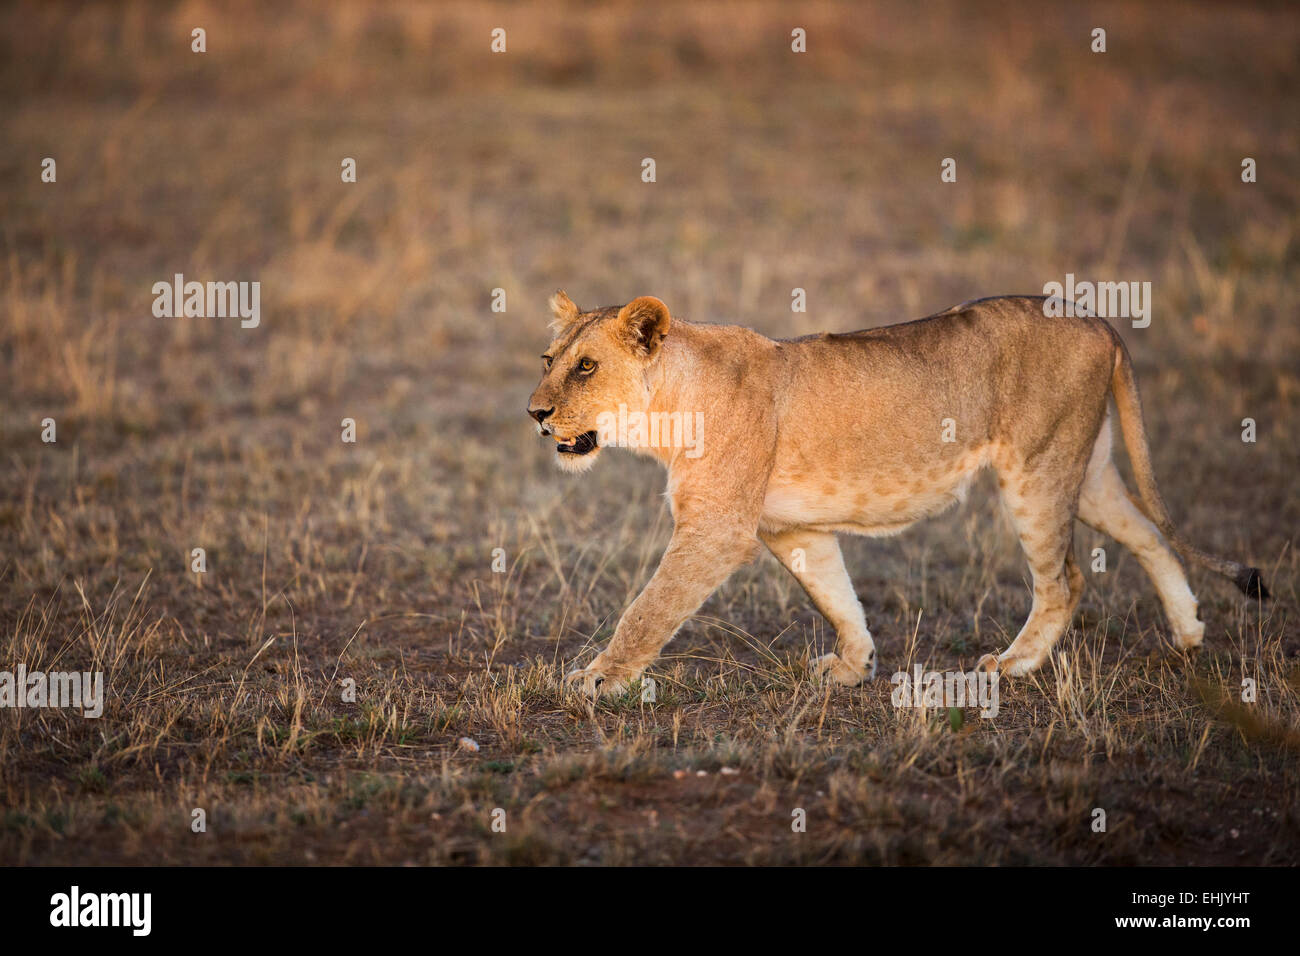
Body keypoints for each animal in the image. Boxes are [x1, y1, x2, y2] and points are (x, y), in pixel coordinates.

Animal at [528, 291, 1268, 697]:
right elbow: (836, 594)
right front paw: (854, 667)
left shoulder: (716, 530)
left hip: (1035, 472)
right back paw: (1188, 633)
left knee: (1067, 580)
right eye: (548, 361)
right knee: (1149, 531)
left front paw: (597, 679)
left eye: (586, 367)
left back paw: (1014, 665)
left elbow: (648, 609)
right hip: (1084, 472)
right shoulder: (792, 528)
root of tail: (1098, 320)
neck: (670, 405)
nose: (534, 413)